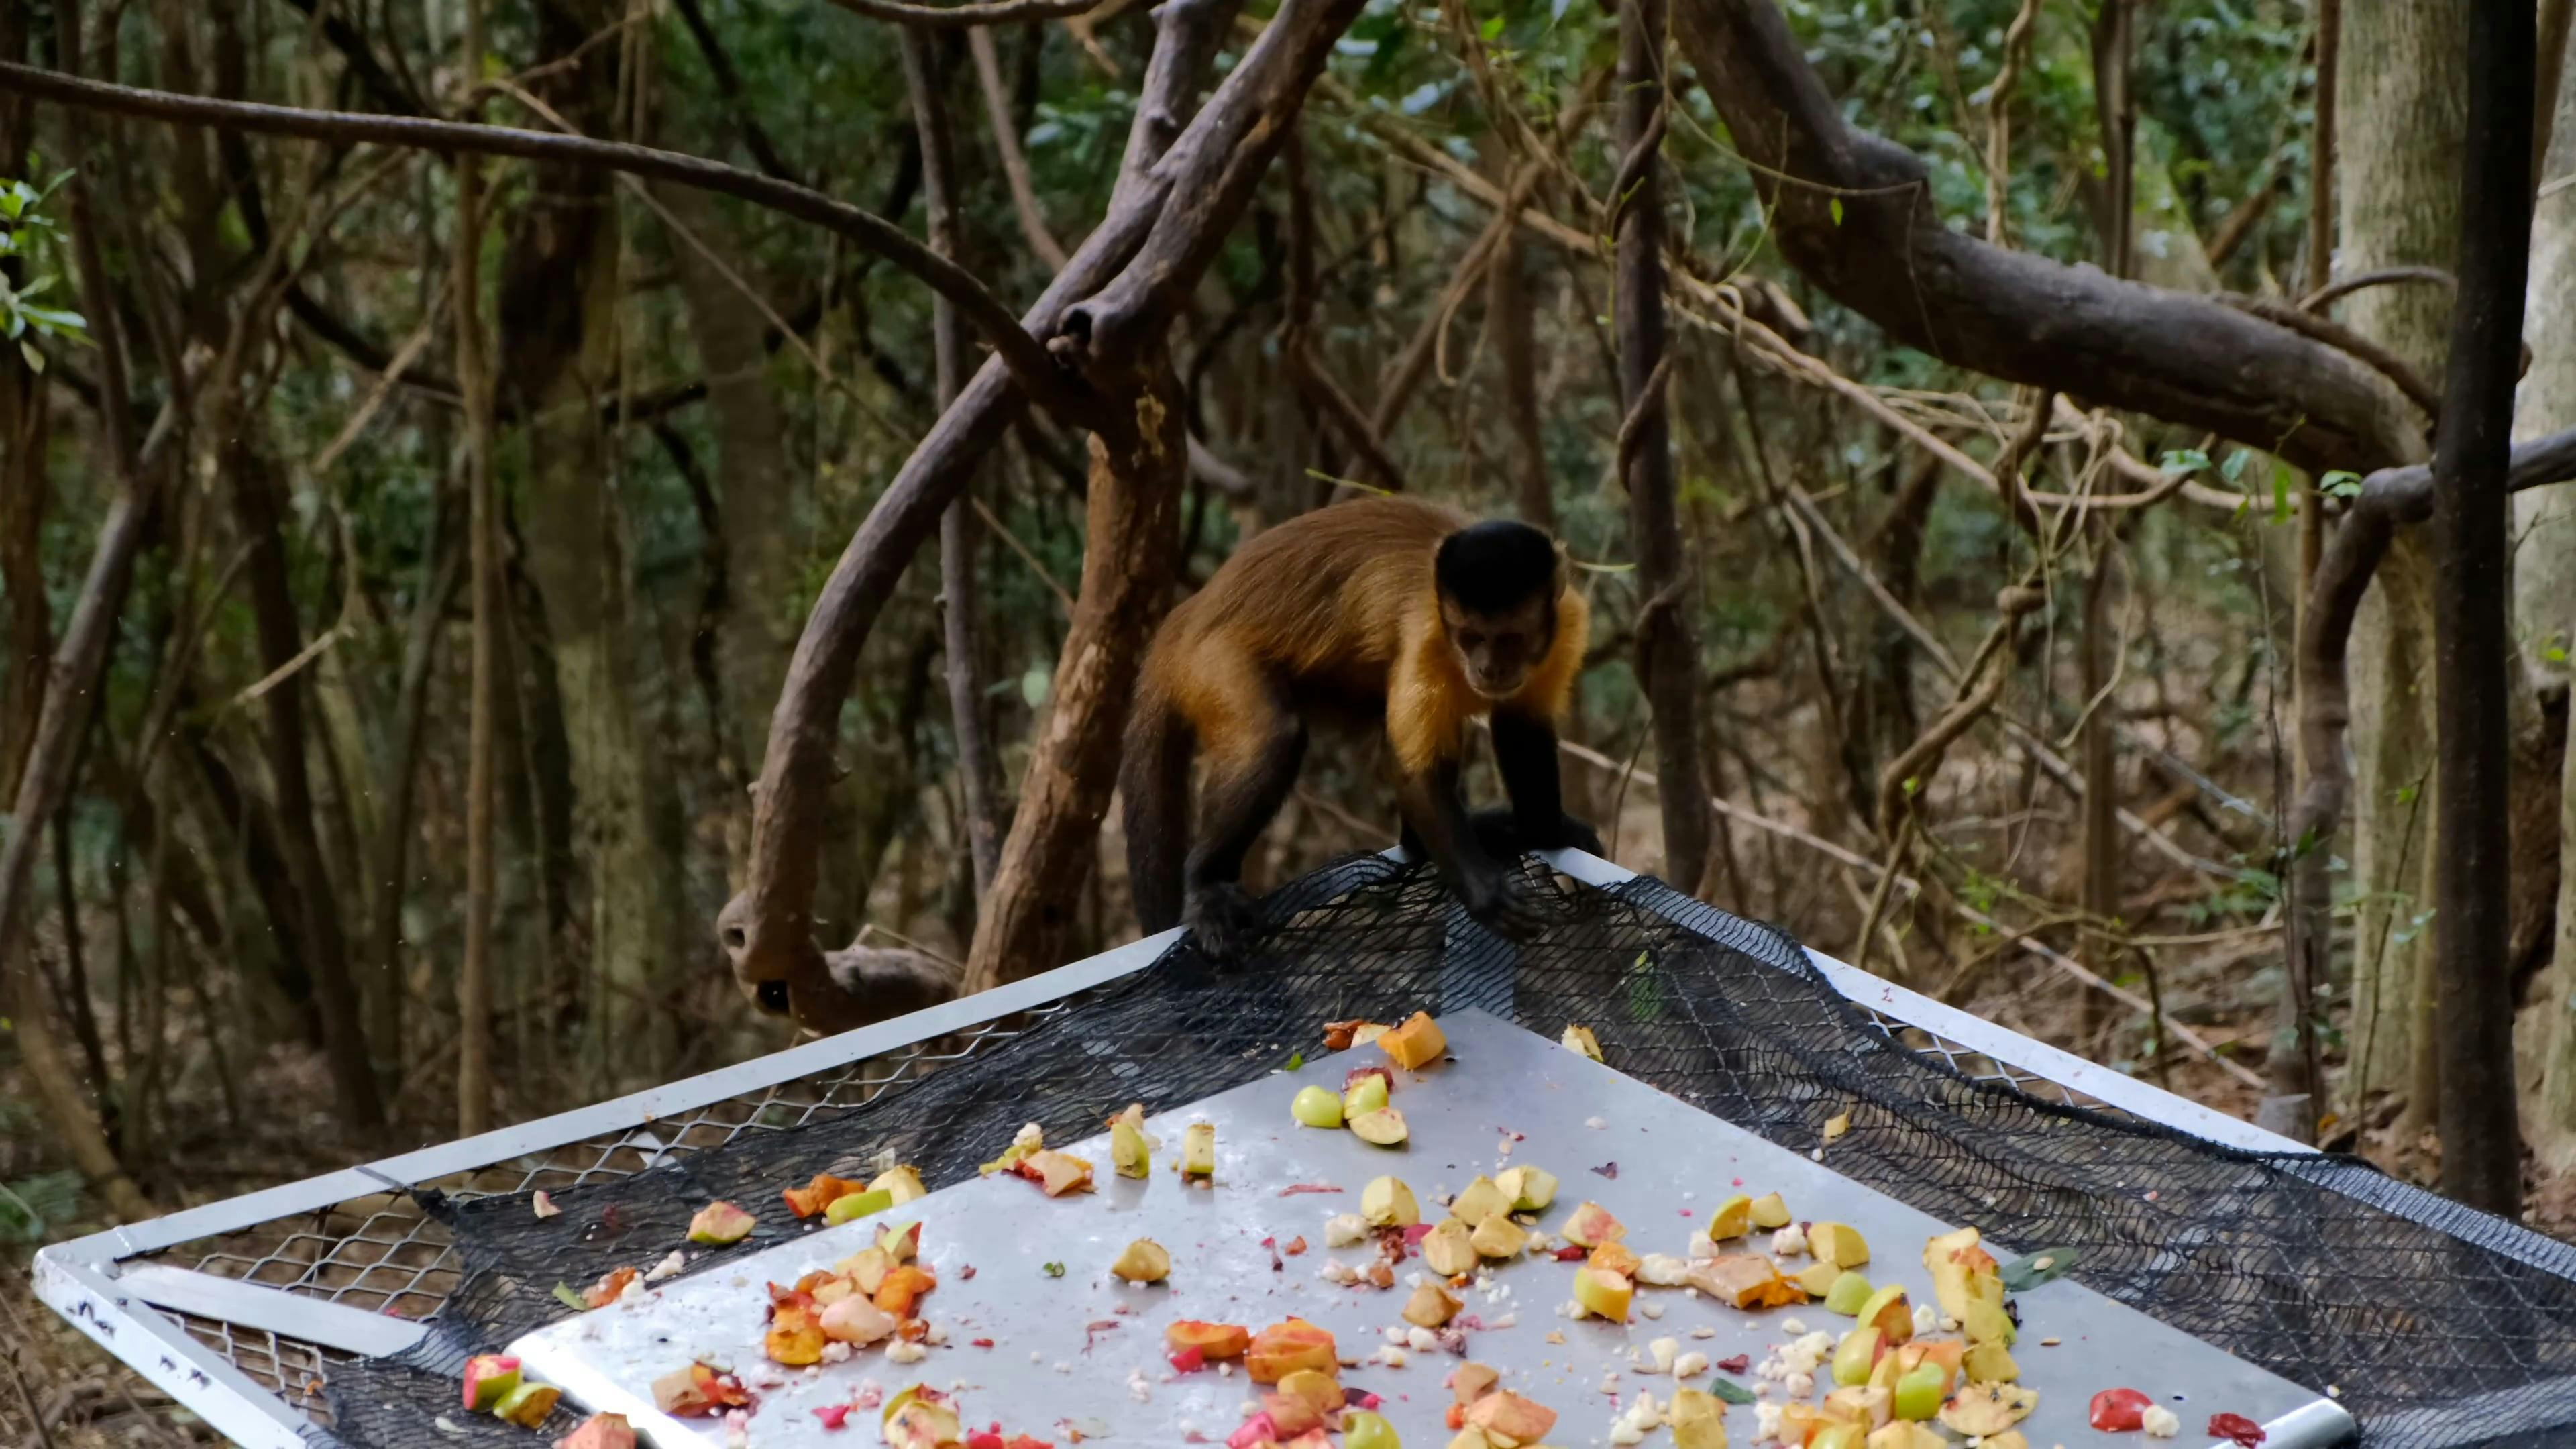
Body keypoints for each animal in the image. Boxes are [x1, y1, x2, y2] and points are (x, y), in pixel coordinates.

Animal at [1120, 497, 1601, 957]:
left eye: (1510, 640)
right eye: (1470, 637)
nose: (1488, 668)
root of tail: (1189, 613)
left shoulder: (1568, 619)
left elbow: (1522, 728)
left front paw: (1544, 831)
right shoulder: (1428, 634)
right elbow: (1416, 774)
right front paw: (1482, 892)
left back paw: (1424, 843)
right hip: (1211, 660)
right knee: (1276, 737)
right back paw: (1205, 886)